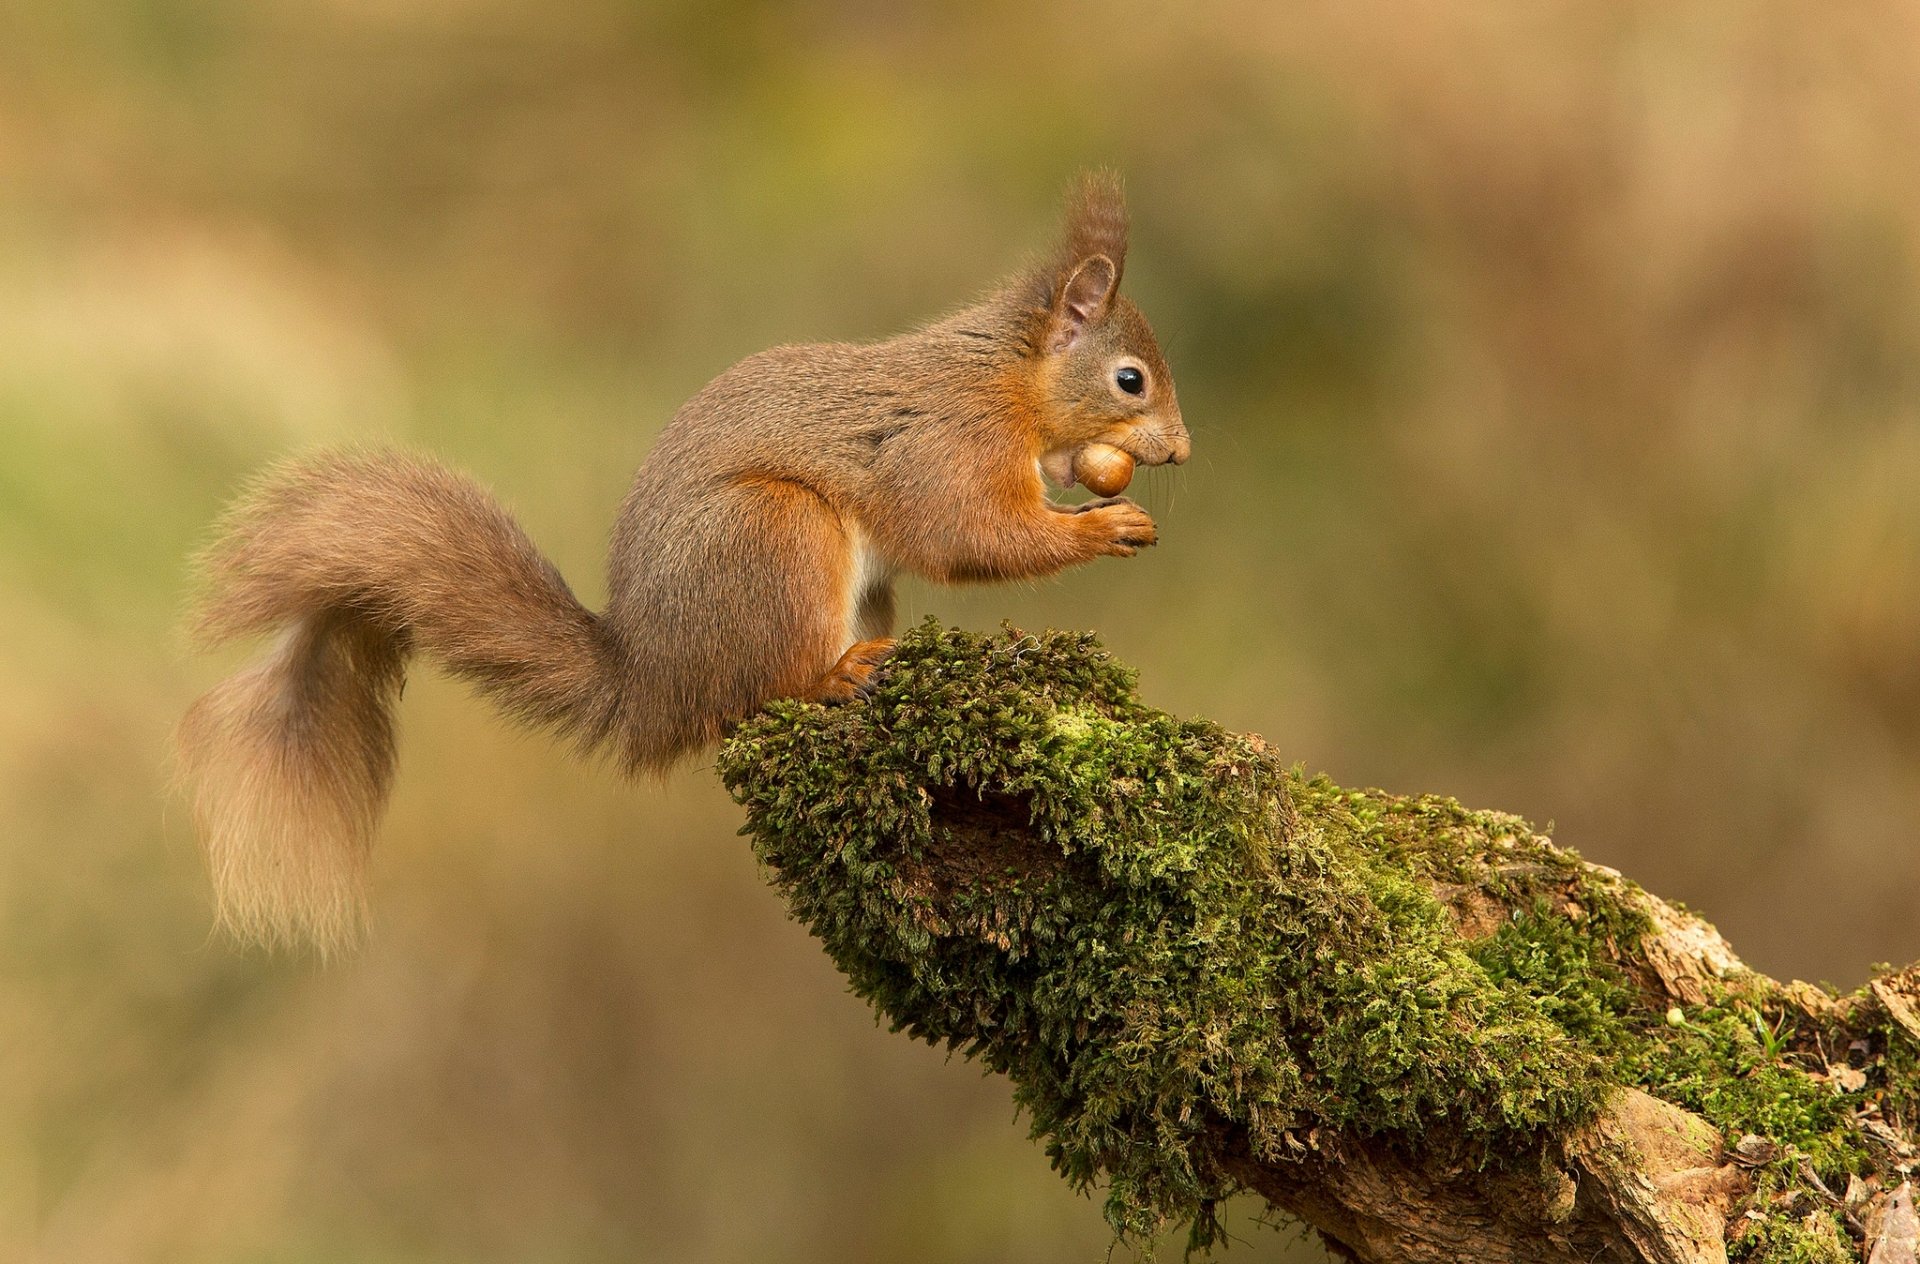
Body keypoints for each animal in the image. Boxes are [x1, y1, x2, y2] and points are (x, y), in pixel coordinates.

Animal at [177, 171, 1190, 951]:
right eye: (1129, 380)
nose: (1180, 452)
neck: (1006, 382)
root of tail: (653, 683)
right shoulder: (946, 447)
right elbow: (968, 535)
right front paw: (1107, 526)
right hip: (776, 535)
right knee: (765, 693)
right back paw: (837, 675)